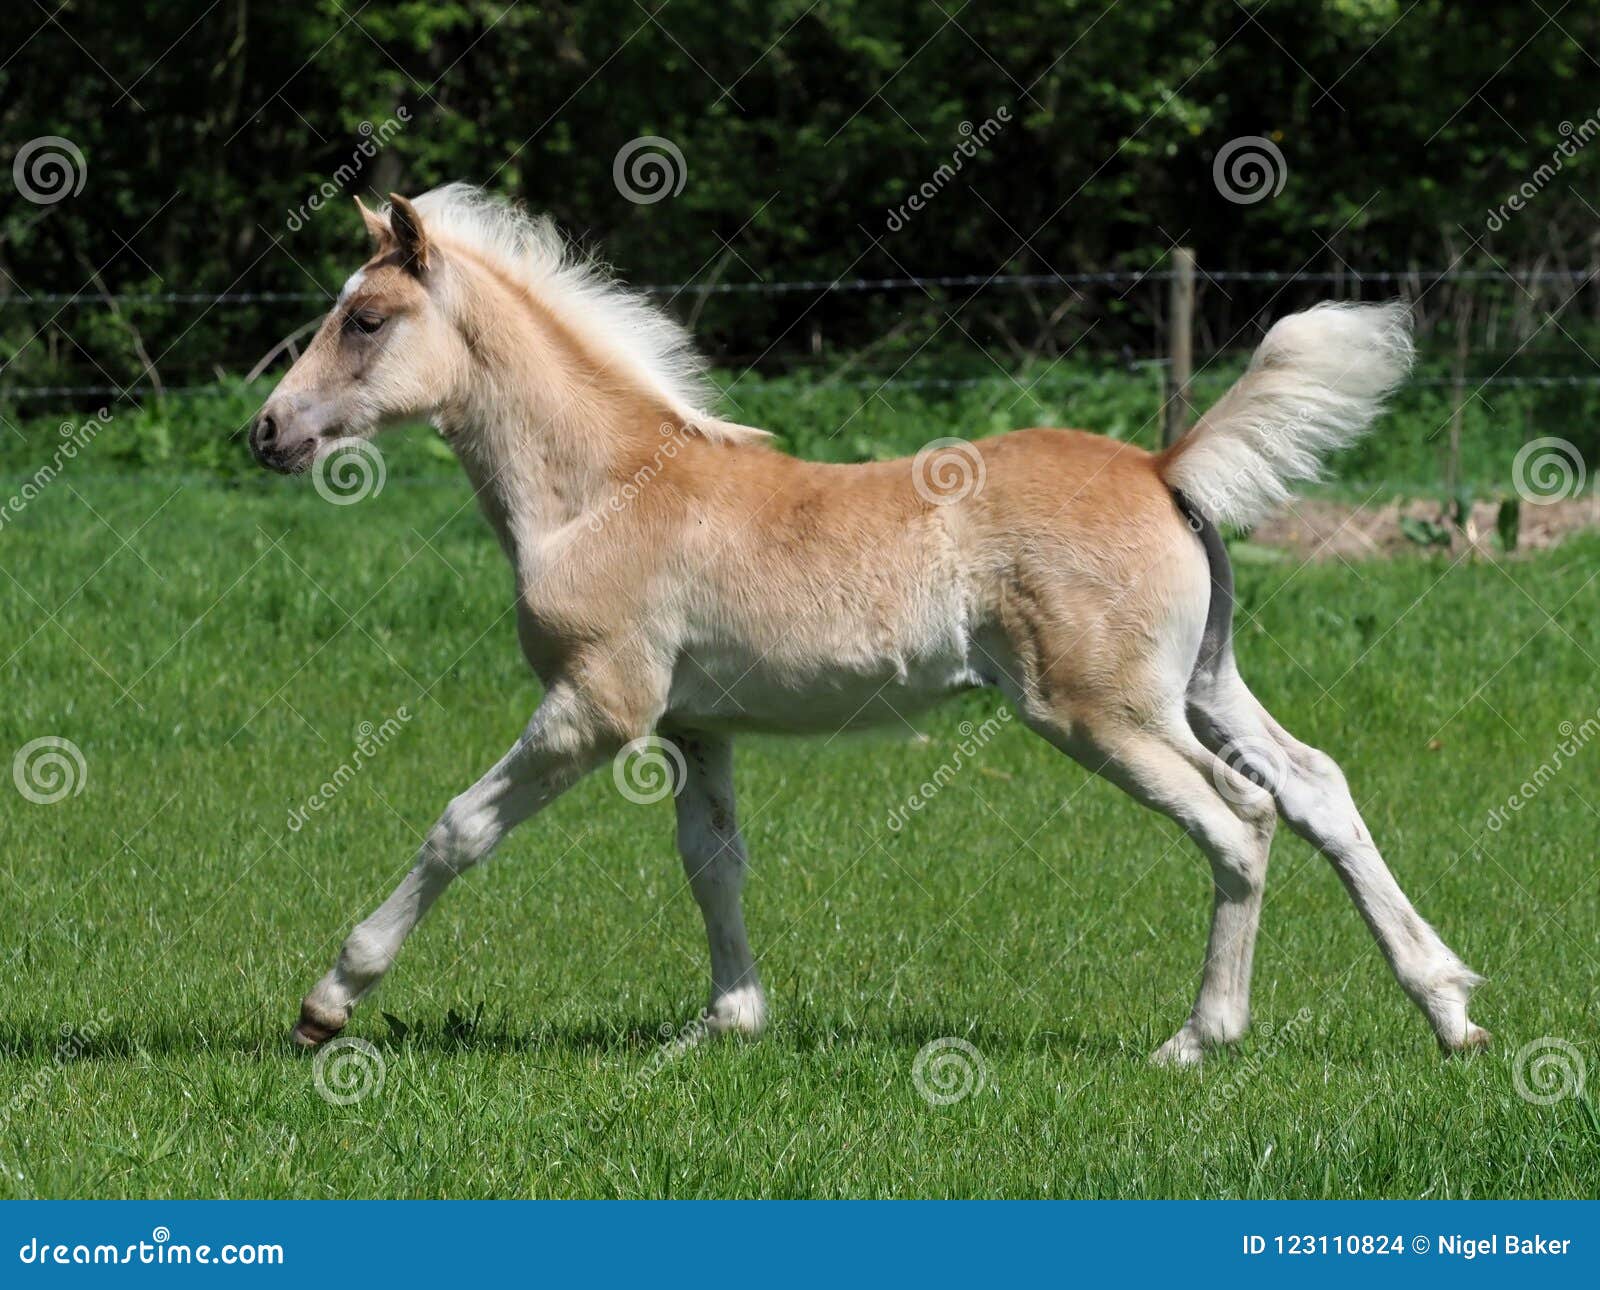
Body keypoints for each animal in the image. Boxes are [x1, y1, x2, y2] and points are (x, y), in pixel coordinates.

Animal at [251, 184, 1486, 1065]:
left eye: (364, 319)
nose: (267, 431)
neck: (603, 491)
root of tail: (1161, 466)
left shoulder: (598, 707)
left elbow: (459, 828)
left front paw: (327, 1005)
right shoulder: (696, 726)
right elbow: (714, 862)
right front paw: (728, 1023)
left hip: (1100, 710)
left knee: (1239, 818)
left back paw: (1196, 1040)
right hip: (1200, 683)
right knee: (1316, 787)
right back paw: (1451, 1013)